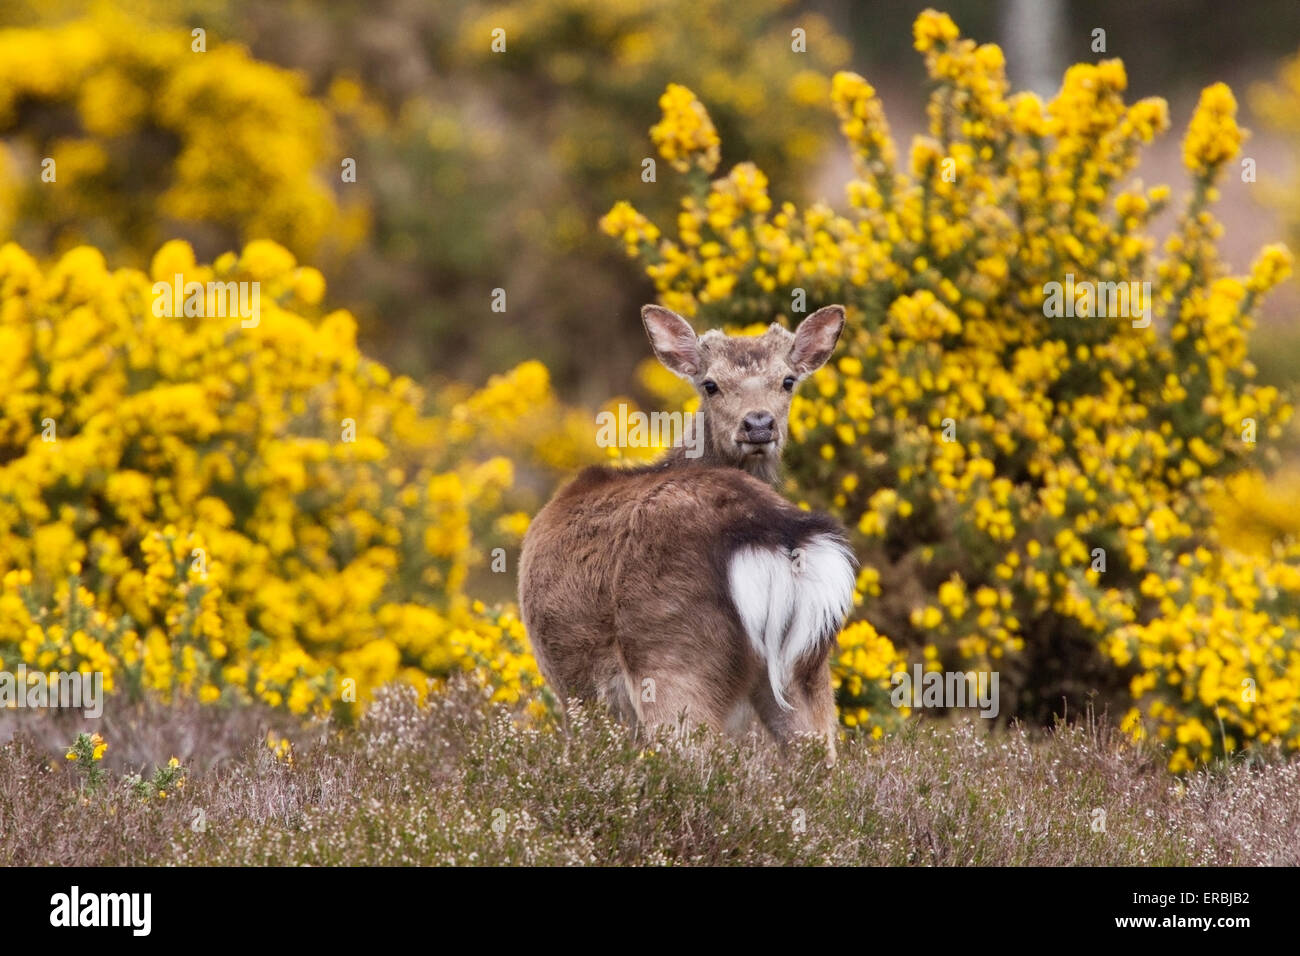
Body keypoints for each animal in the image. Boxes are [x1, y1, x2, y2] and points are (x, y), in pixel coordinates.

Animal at [518, 304, 855, 763]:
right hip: (807, 665)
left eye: (788, 380)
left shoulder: (572, 686)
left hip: (669, 654)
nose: (759, 424)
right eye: (710, 384)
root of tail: (768, 529)